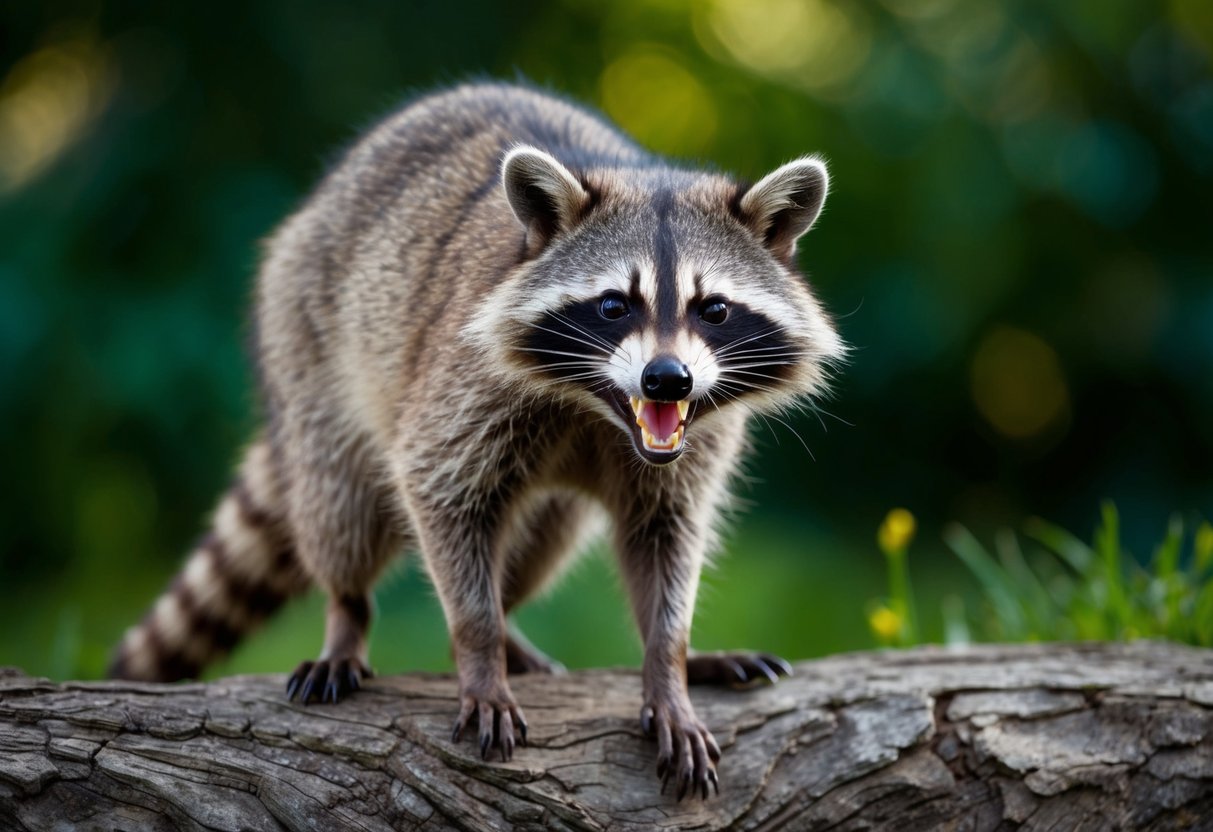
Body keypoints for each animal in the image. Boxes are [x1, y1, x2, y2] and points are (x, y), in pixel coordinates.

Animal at [109, 82, 844, 799]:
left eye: (713, 309)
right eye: (614, 306)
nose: (666, 380)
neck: (595, 407)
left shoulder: (690, 449)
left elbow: (666, 538)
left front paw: (670, 664)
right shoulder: (461, 390)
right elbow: (440, 496)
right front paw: (478, 649)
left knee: (542, 542)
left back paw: (525, 626)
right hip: (307, 343)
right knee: (340, 509)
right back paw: (349, 617)